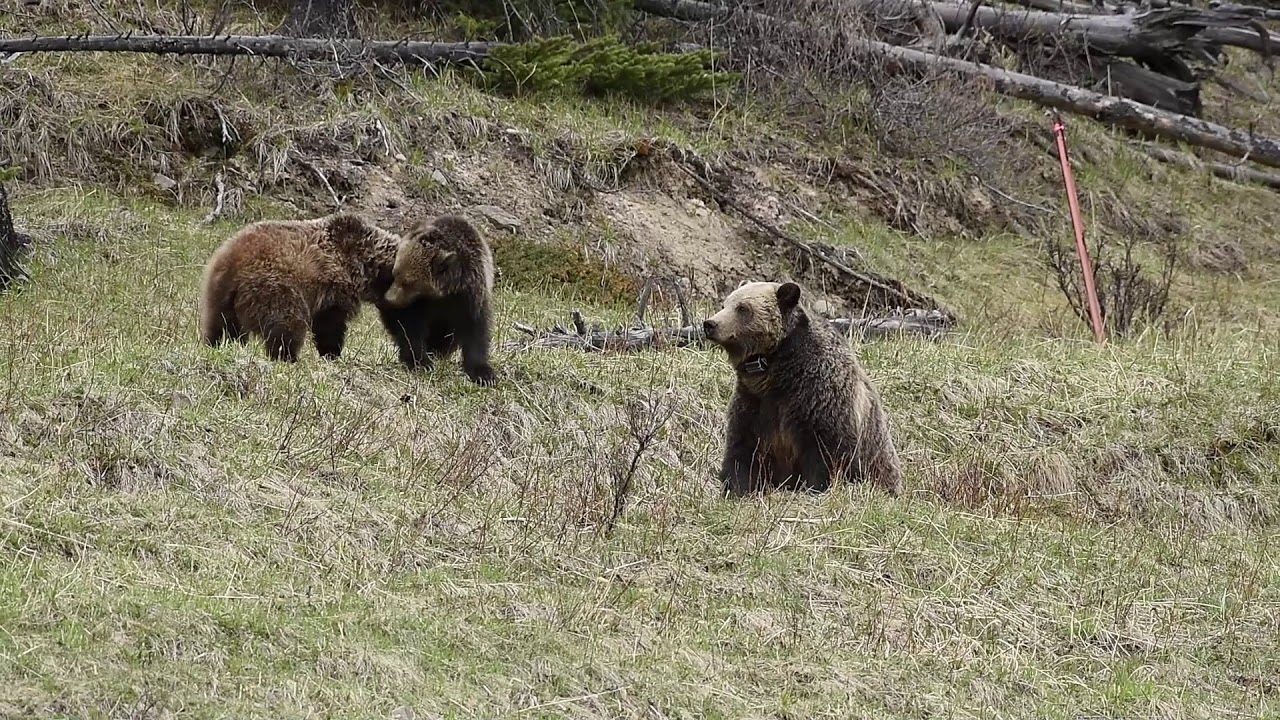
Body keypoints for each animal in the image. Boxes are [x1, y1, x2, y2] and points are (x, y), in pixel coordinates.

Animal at [198, 212, 408, 363]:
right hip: (276, 289)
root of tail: (233, 260)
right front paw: (332, 352)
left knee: (221, 325)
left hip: (219, 295)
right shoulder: (335, 287)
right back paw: (287, 357)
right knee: (287, 326)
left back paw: (216, 344)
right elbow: (329, 324)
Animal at [379, 213, 498, 387]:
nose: (388, 299)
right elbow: (411, 328)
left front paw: (484, 373)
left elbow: (476, 329)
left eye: (407, 282)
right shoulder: (421, 303)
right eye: (395, 273)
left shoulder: (471, 295)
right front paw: (421, 362)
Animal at [701, 280, 904, 498]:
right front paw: (737, 488)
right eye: (725, 304)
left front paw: (815, 488)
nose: (710, 324)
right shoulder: (753, 402)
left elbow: (826, 453)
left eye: (743, 308)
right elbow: (742, 450)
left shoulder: (818, 398)